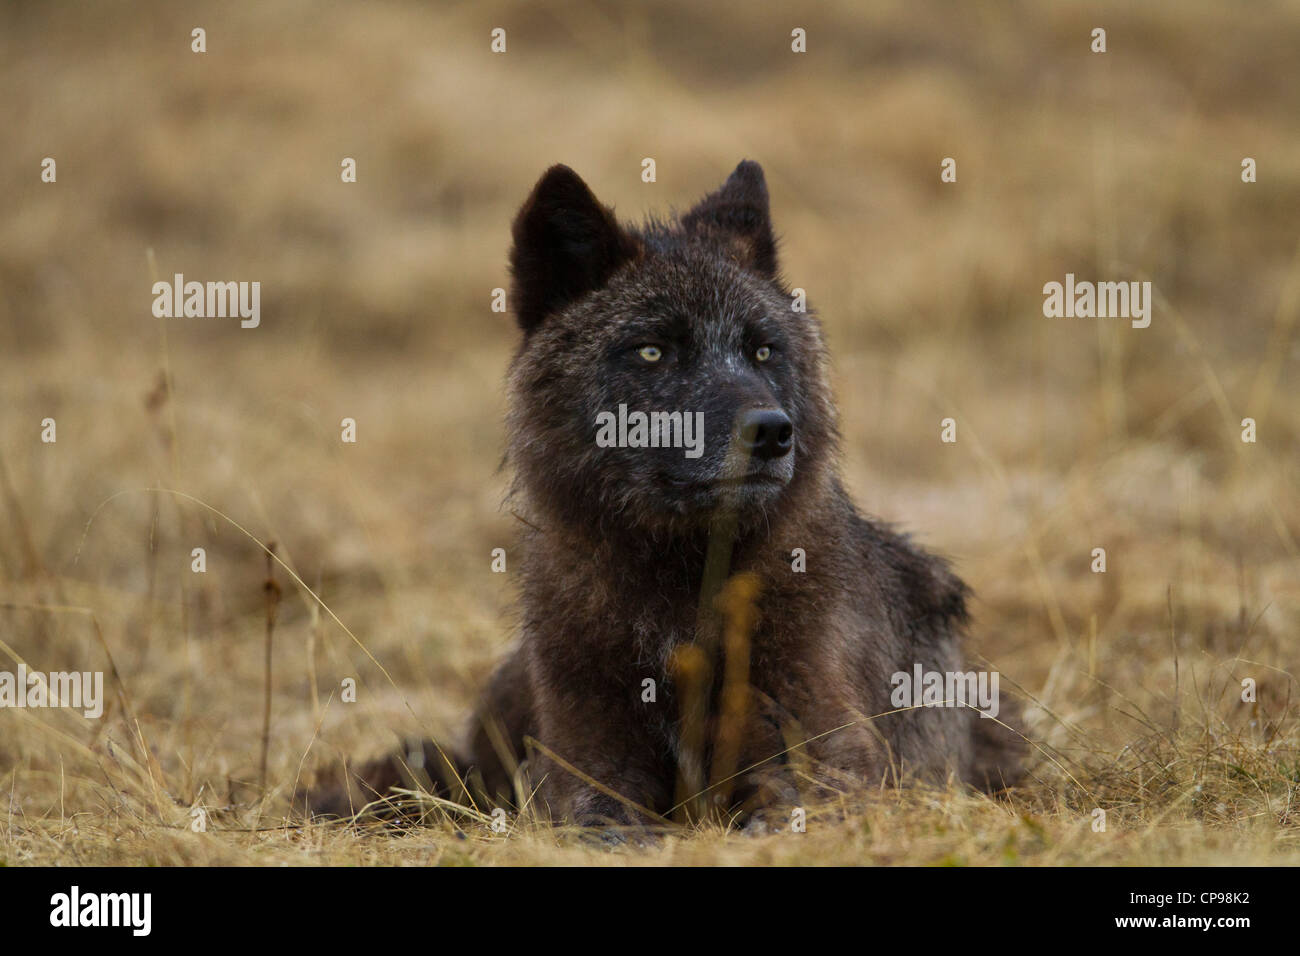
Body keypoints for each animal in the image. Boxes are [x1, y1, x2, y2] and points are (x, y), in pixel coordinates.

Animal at [307, 161, 1025, 827]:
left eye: (763, 351)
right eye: (652, 352)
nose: (771, 432)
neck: (682, 590)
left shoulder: (835, 758)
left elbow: (785, 809)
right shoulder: (583, 761)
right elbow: (597, 818)